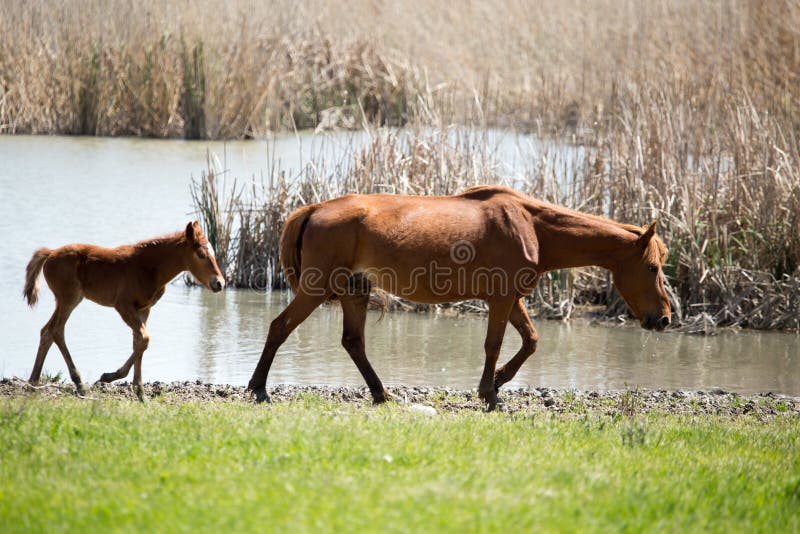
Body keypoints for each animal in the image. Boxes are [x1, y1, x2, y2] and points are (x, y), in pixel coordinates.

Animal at [23, 221, 225, 401]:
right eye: (200, 254)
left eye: (213, 253)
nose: (220, 283)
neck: (149, 268)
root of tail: (50, 253)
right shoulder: (123, 306)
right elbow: (144, 339)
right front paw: (109, 377)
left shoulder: (144, 309)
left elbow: (139, 342)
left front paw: (140, 393)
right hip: (68, 299)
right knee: (56, 330)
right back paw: (77, 382)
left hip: (67, 300)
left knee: (47, 331)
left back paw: (34, 381)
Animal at [247, 185, 670, 410]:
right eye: (653, 268)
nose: (664, 318)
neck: (531, 226)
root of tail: (314, 208)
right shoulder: (501, 299)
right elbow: (494, 344)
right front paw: (490, 394)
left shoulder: (512, 299)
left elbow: (531, 341)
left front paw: (498, 382)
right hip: (316, 288)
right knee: (279, 327)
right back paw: (259, 388)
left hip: (355, 291)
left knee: (353, 342)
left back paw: (382, 393)